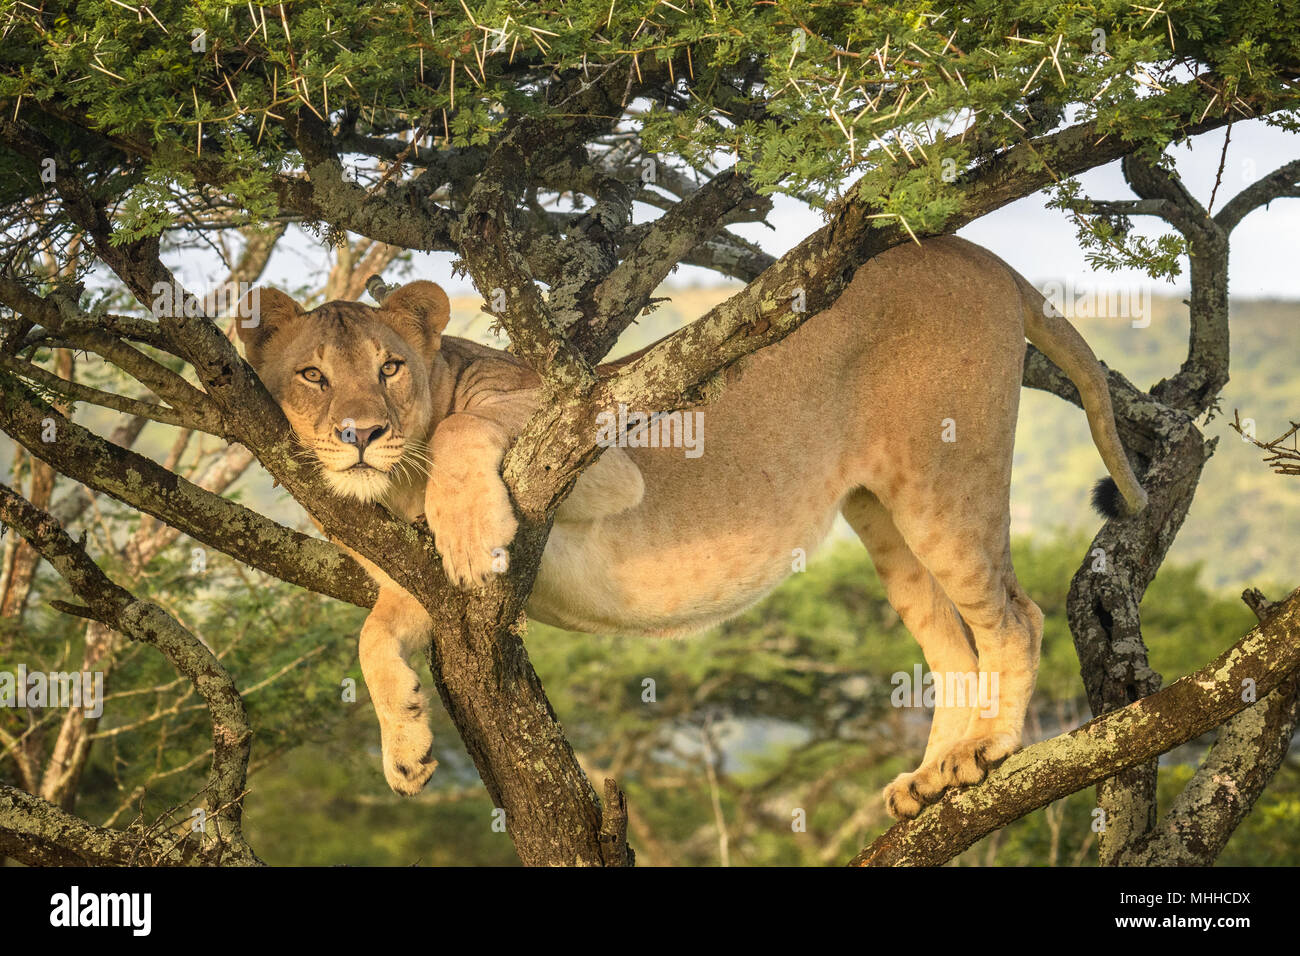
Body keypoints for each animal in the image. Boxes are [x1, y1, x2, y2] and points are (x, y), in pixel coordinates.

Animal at [238, 235, 1145, 819]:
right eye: (312, 376)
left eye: (391, 366)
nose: (360, 433)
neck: (396, 485)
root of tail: (972, 251)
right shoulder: (404, 584)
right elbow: (372, 635)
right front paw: (406, 751)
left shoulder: (598, 451)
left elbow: (465, 431)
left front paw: (468, 532)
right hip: (882, 516)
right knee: (952, 645)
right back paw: (934, 777)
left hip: (943, 475)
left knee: (1014, 616)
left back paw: (989, 752)